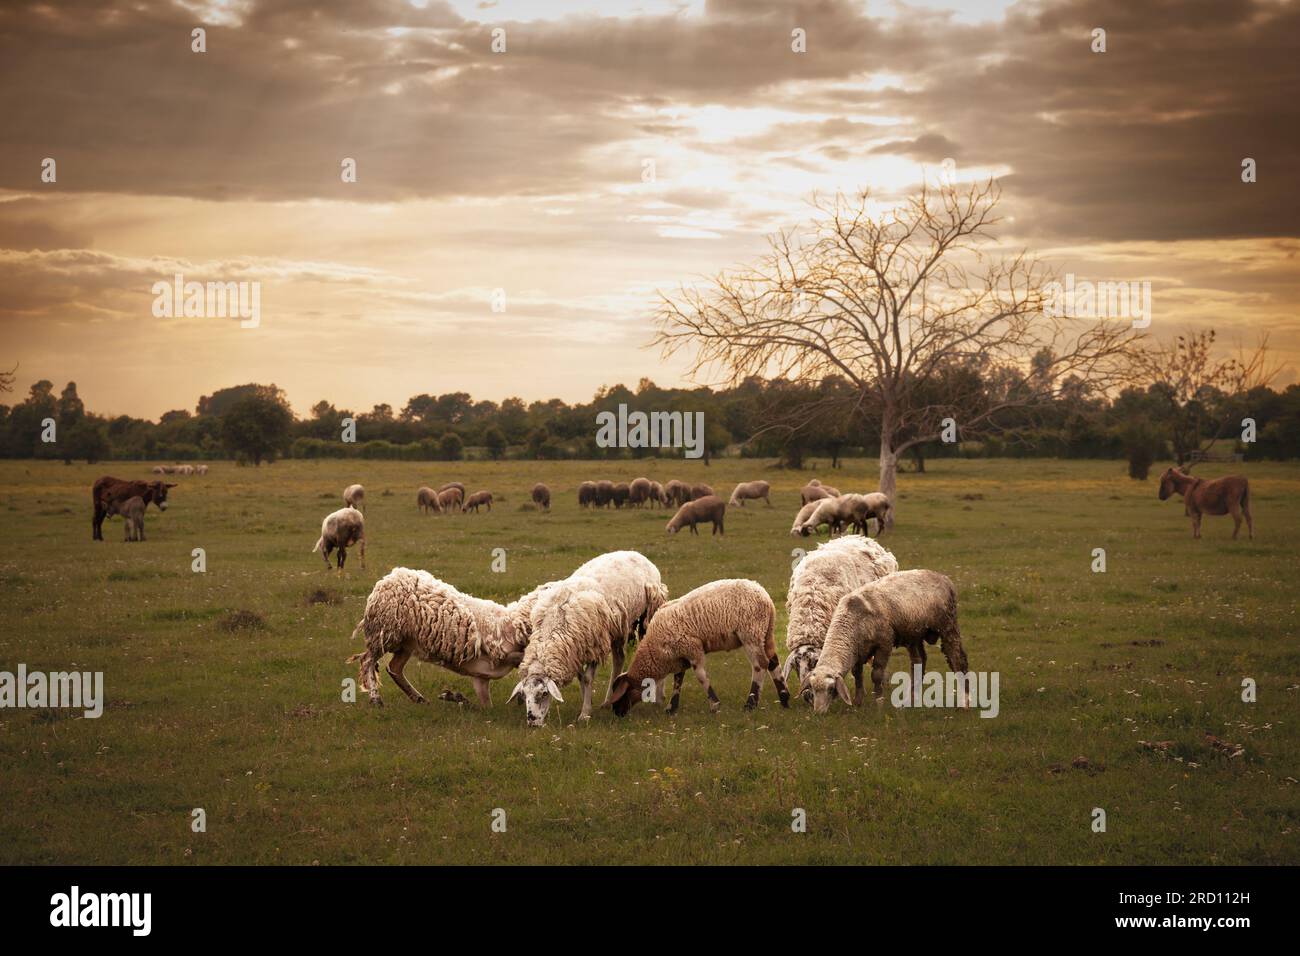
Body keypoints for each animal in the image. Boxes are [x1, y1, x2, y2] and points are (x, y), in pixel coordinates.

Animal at [347, 569, 560, 708]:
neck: (513, 621)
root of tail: (388, 578)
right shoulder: (497, 656)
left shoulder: (481, 676)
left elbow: (485, 706)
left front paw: (455, 697)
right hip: (385, 633)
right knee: (368, 661)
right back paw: (376, 699)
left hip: (406, 643)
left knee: (394, 668)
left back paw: (418, 698)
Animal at [608, 579, 789, 717]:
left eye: (624, 693)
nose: (617, 713)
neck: (654, 650)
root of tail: (766, 597)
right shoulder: (679, 655)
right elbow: (678, 680)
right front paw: (671, 708)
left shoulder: (692, 648)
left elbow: (701, 676)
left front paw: (715, 705)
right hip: (766, 634)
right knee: (773, 662)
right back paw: (784, 699)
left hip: (750, 633)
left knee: (760, 665)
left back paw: (750, 704)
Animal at [804, 569, 967, 712]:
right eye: (813, 689)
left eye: (831, 689)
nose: (818, 712)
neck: (850, 620)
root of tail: (944, 578)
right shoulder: (857, 650)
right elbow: (857, 674)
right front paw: (858, 701)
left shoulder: (884, 643)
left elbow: (876, 674)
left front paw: (879, 702)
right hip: (914, 634)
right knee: (919, 661)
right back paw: (910, 700)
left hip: (948, 625)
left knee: (958, 660)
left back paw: (964, 703)